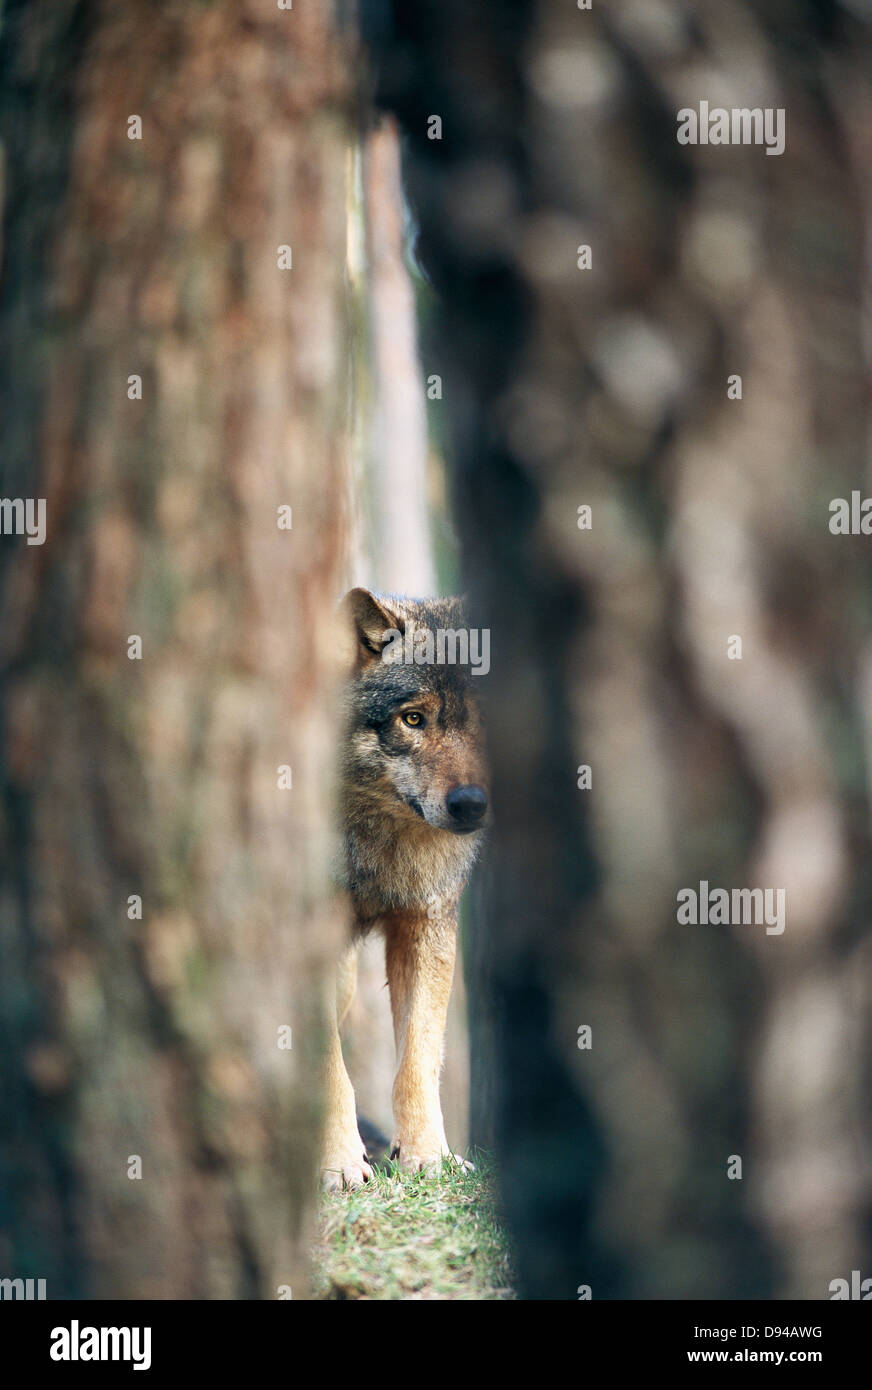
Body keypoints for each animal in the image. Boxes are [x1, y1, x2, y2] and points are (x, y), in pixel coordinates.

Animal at [321, 587, 488, 1191]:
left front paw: (428, 1159)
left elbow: (416, 1062)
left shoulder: (426, 926)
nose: (471, 804)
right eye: (413, 718)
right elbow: (332, 1071)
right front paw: (340, 1165)